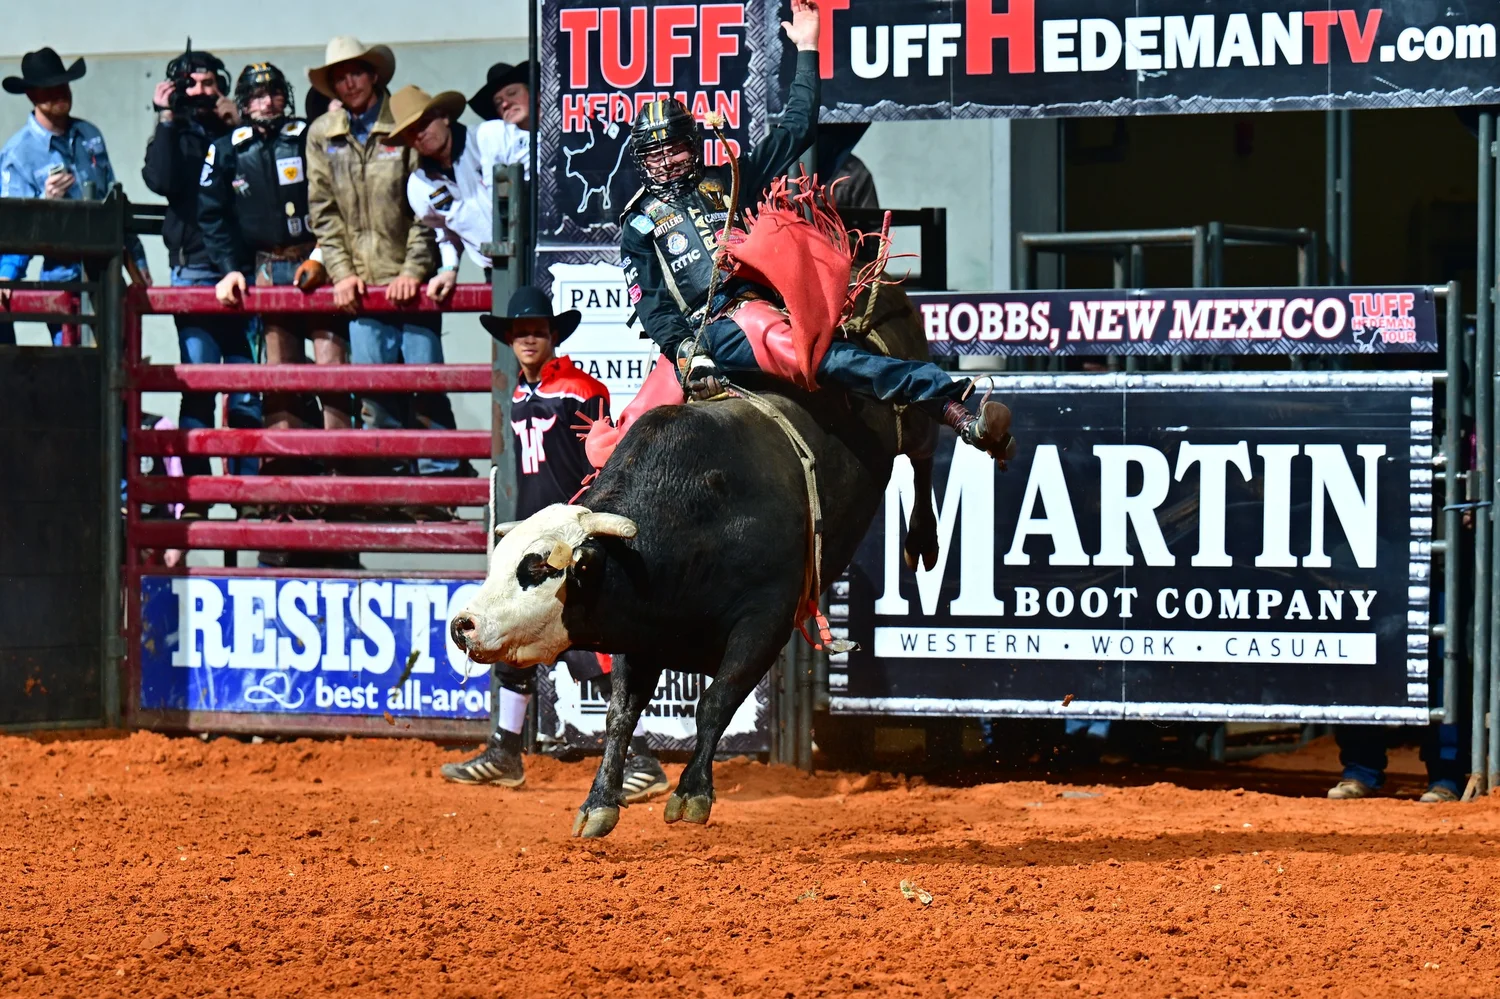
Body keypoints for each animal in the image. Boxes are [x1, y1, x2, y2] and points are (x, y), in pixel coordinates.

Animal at [450, 285, 953, 838]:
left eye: (537, 569)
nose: (462, 625)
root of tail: (883, 289)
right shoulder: (638, 630)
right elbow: (620, 712)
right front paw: (599, 802)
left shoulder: (765, 620)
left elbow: (715, 702)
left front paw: (692, 793)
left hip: (910, 418)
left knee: (924, 447)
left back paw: (933, 517)